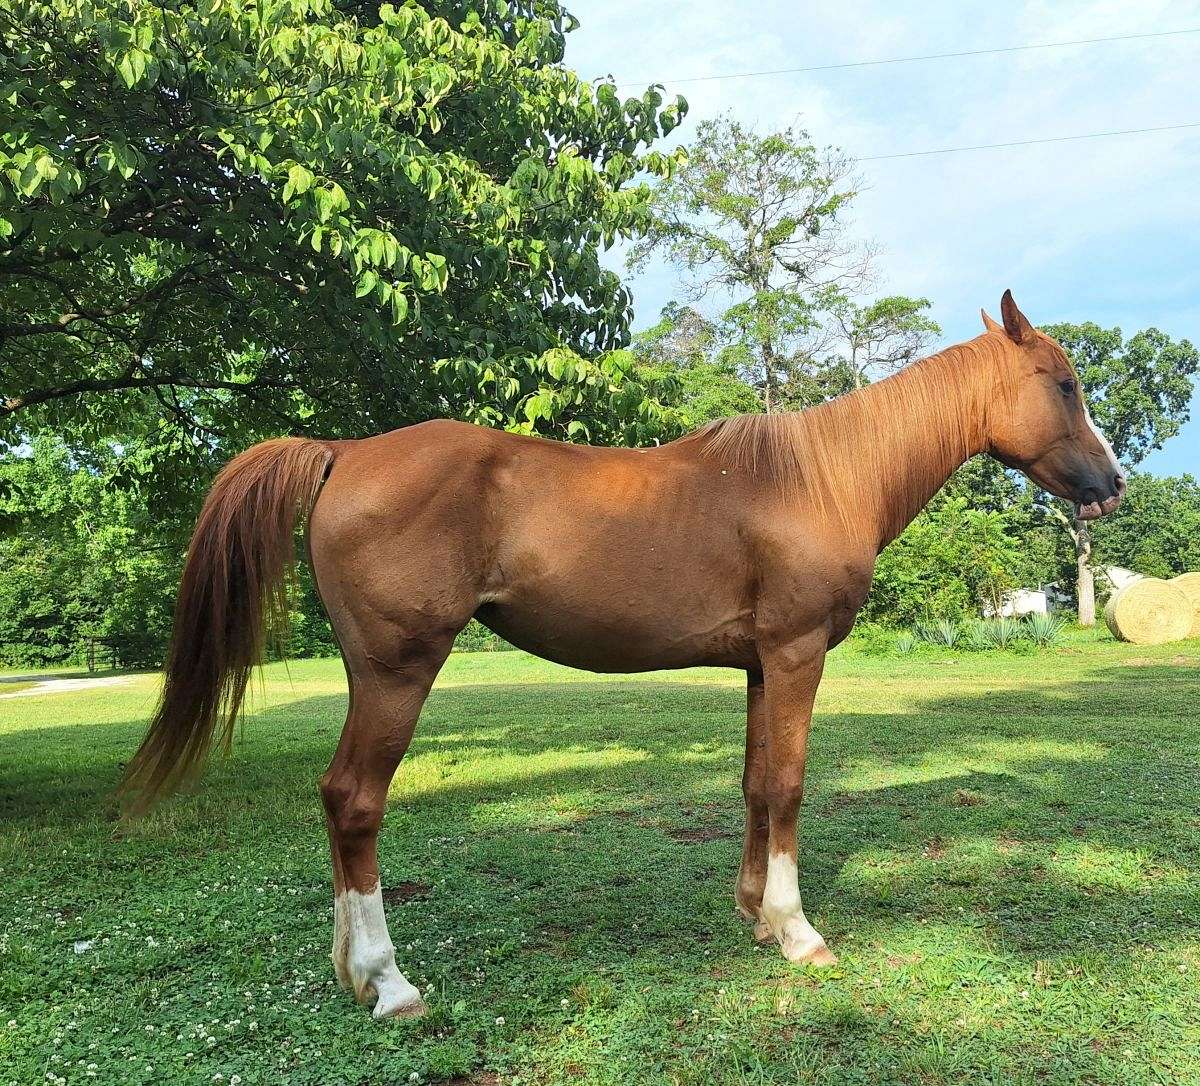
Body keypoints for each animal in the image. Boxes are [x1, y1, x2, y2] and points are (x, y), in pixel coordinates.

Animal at [124, 291, 1125, 1019]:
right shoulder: (798, 654)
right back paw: (390, 981)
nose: (1113, 485)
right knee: (354, 801)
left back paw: (350, 969)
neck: (819, 479)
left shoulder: (760, 664)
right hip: (397, 671)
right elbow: (791, 784)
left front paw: (754, 916)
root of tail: (344, 451)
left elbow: (755, 784)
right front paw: (799, 931)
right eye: (1064, 383)